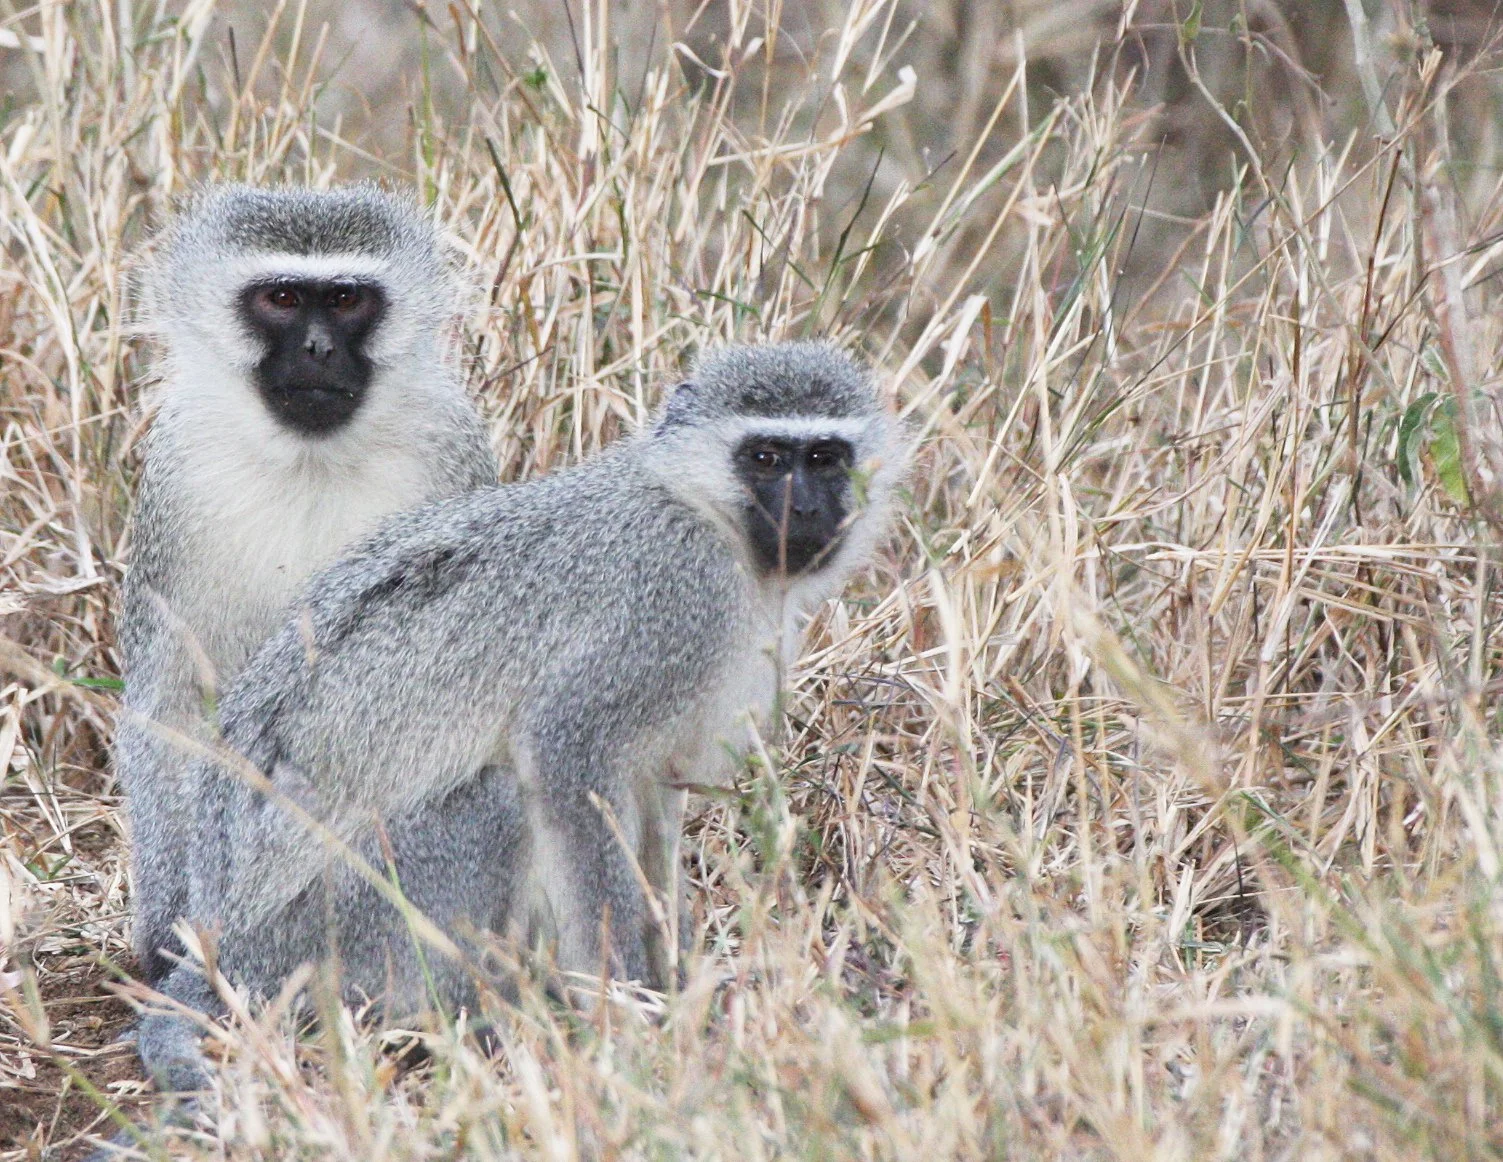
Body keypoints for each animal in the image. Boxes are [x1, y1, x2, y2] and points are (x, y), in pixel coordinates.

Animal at [117, 183, 497, 987]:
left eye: (347, 300)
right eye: (283, 298)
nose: (319, 349)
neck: (308, 459)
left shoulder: (450, 455)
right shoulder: (179, 479)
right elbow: (172, 709)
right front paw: (172, 935)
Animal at [130, 341, 909, 1100]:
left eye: (825, 458)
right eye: (766, 458)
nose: (804, 509)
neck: (703, 511)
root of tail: (231, 951)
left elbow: (652, 807)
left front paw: (679, 976)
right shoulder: (675, 597)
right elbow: (566, 756)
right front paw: (629, 1014)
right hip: (330, 929)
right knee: (499, 799)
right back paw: (465, 1020)